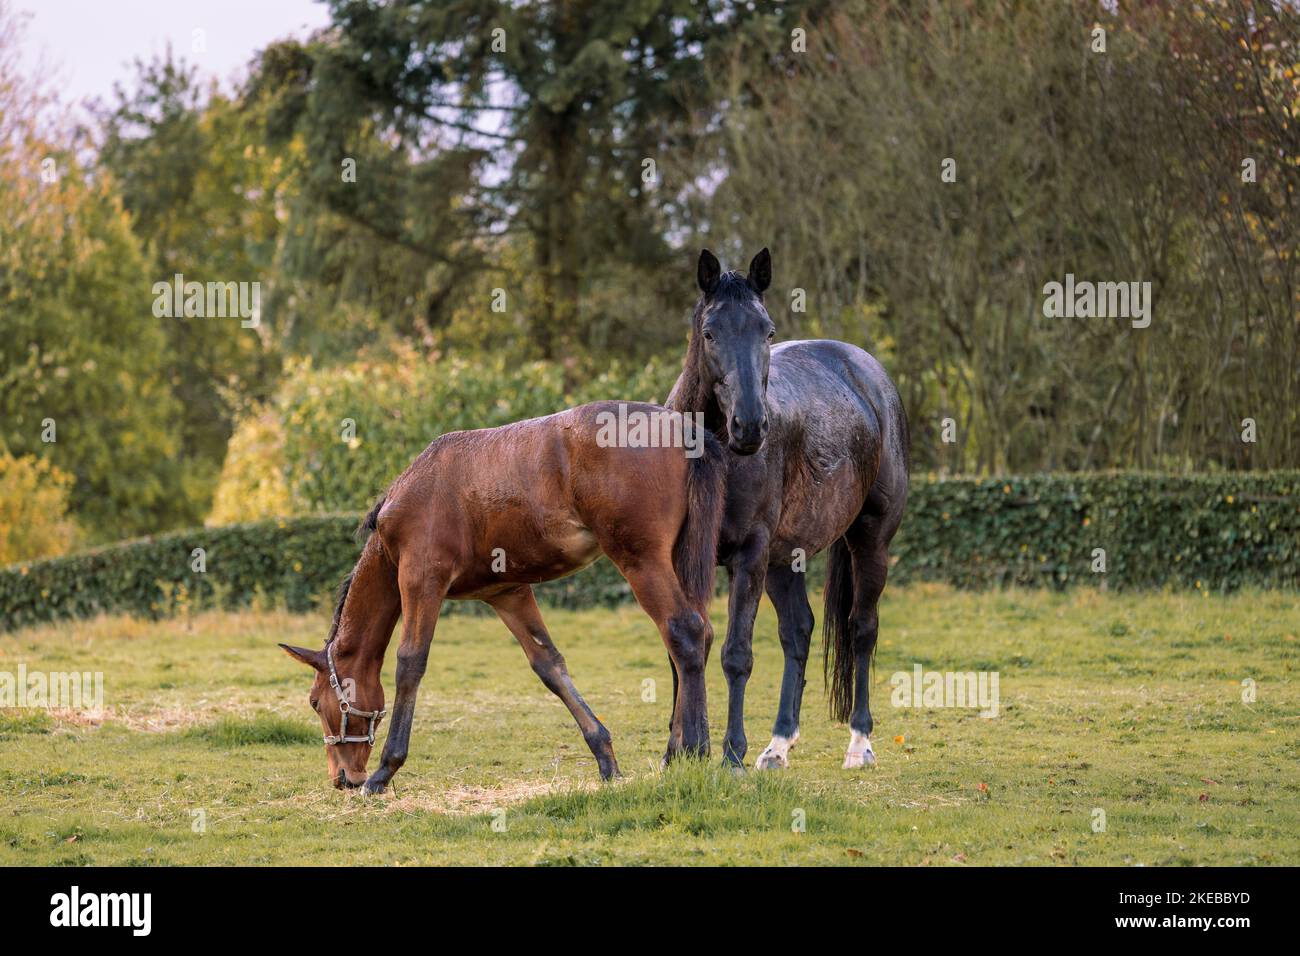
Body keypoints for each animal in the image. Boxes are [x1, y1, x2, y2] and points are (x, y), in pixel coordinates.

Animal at [280, 401, 726, 793]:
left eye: (315, 702)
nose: (343, 777)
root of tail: (683, 427)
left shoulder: (421, 580)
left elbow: (410, 663)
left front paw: (385, 771)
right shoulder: (507, 593)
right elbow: (549, 665)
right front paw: (606, 759)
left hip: (641, 560)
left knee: (684, 633)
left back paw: (694, 749)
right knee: (699, 635)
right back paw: (676, 752)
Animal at [665, 248, 909, 771]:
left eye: (768, 331)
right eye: (710, 332)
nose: (750, 426)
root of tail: (866, 371)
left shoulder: (748, 556)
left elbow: (736, 654)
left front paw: (730, 756)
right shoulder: (681, 559)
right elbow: (681, 645)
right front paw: (676, 754)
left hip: (868, 542)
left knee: (862, 628)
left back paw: (859, 742)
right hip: (783, 560)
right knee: (799, 632)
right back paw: (778, 744)